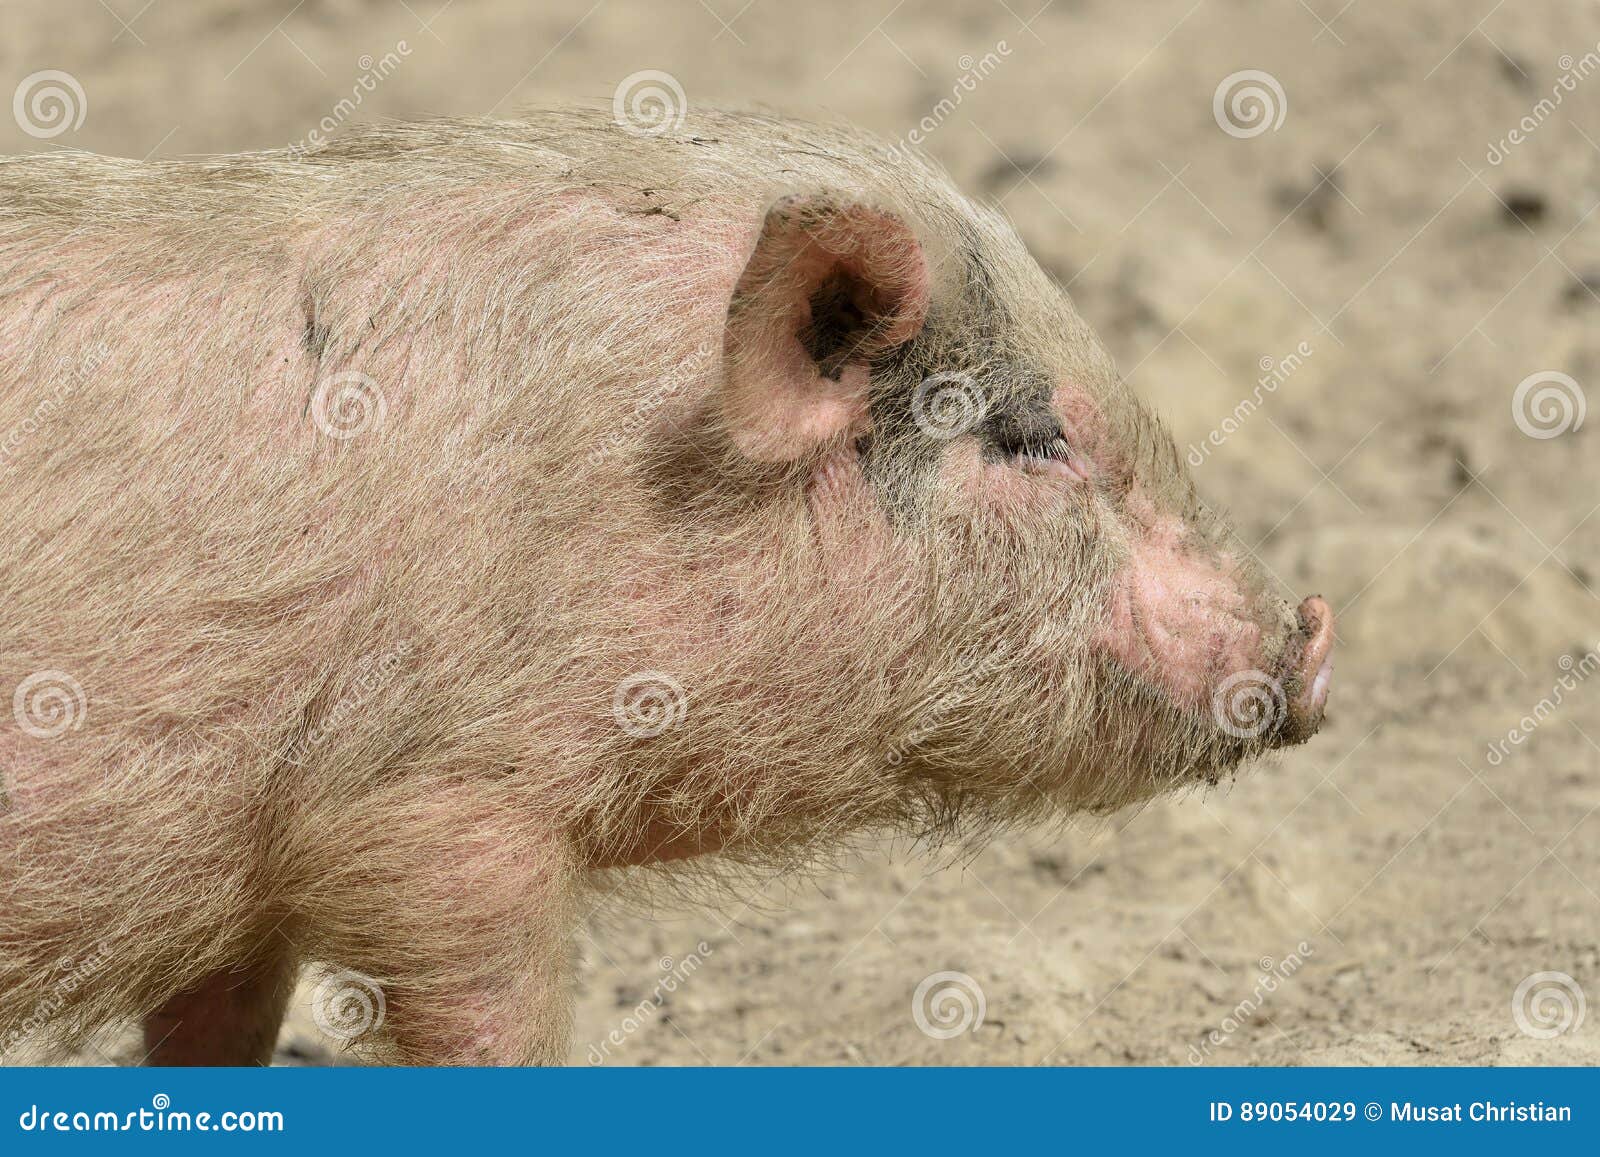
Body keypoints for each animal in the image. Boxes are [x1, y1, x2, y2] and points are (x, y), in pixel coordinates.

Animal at [0, 106, 1334, 1066]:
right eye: (1024, 437)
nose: (1310, 639)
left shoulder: (248, 882)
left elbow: (218, 1027)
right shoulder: (430, 808)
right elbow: (488, 1021)